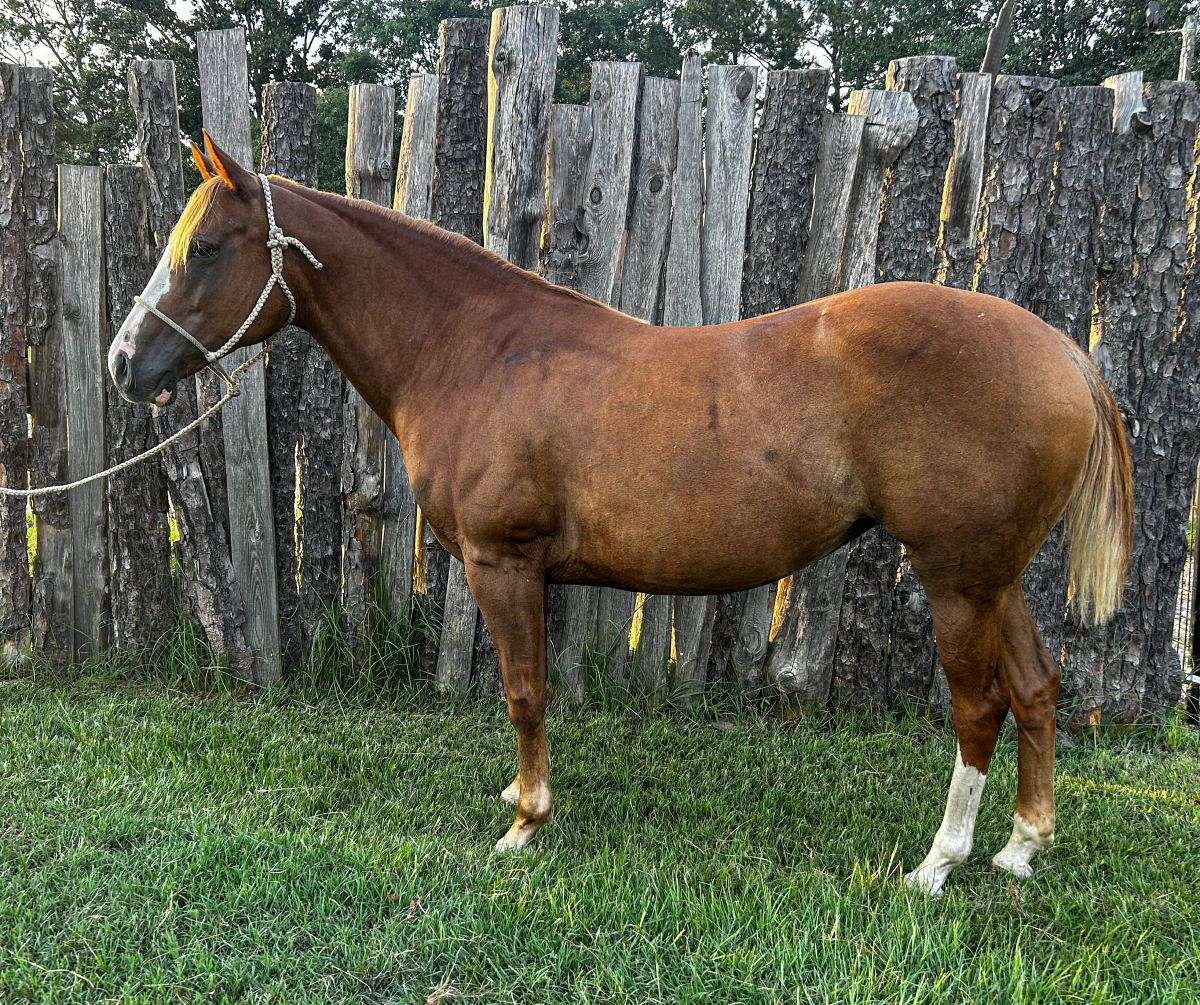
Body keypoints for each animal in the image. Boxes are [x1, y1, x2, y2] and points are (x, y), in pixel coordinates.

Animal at [109, 133, 1132, 895]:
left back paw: (938, 863)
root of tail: (1060, 349)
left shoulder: (504, 561)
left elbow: (524, 692)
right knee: (1036, 688)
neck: (478, 348)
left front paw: (527, 822)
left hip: (956, 577)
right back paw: (1021, 847)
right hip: (995, 578)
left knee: (980, 707)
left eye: (204, 248)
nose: (124, 361)